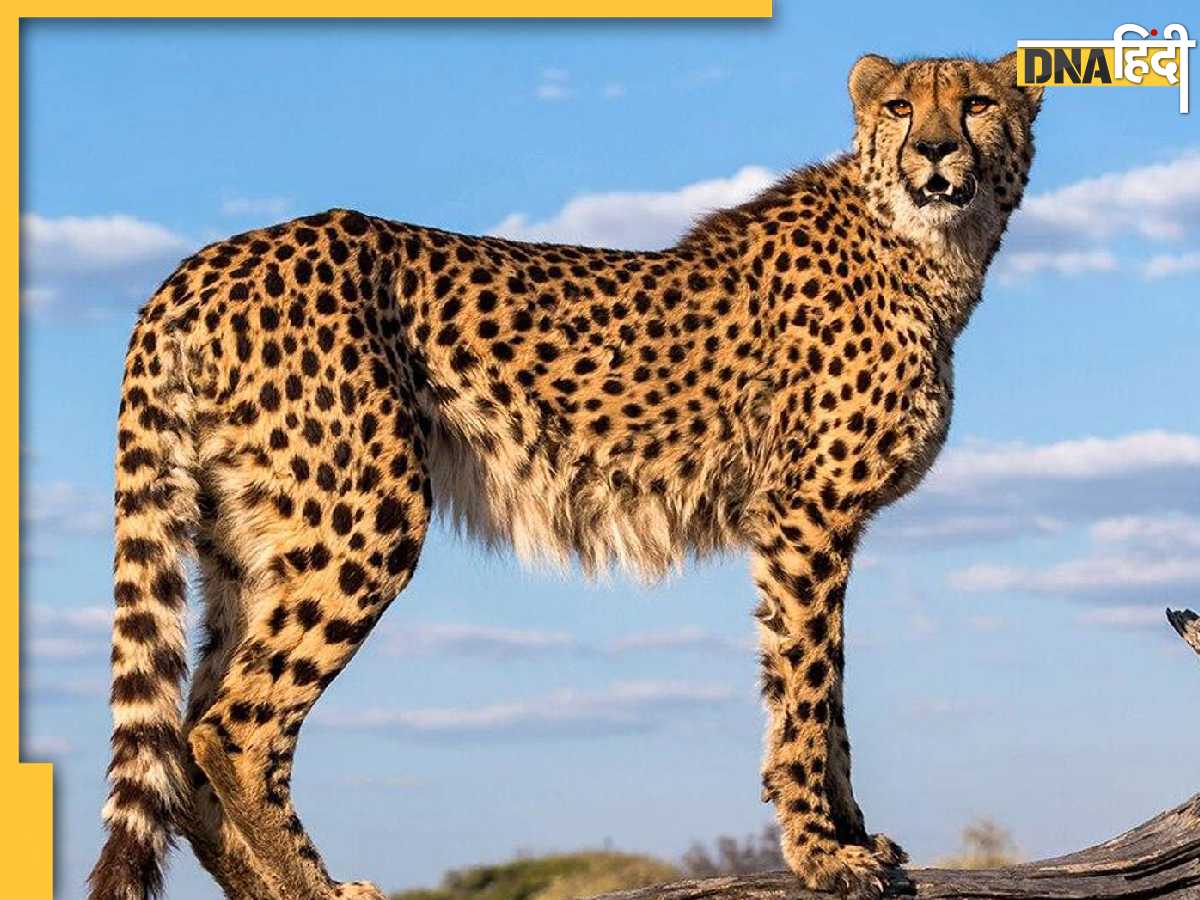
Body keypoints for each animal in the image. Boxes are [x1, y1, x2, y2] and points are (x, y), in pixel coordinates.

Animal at [88, 51, 1042, 900]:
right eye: (900, 107)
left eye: (979, 103)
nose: (935, 151)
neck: (931, 251)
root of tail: (204, 262)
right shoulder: (805, 515)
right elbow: (809, 688)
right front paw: (823, 855)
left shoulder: (817, 526)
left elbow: (825, 694)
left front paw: (854, 838)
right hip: (363, 516)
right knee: (231, 727)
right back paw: (315, 890)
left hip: (247, 534)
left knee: (183, 735)